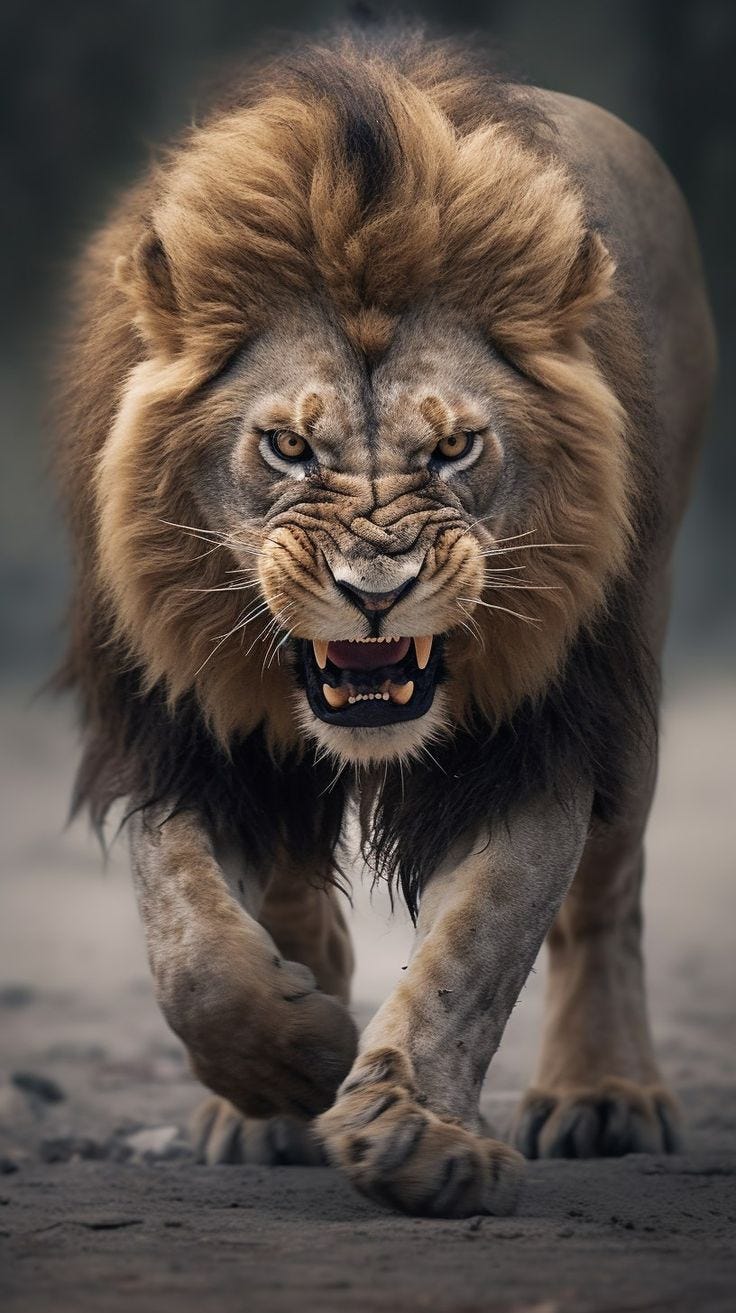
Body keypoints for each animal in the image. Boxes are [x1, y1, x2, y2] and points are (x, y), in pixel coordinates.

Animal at [56, 27, 715, 1217]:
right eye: (287, 446)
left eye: (454, 448)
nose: (375, 586)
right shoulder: (175, 724)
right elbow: (189, 943)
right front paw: (295, 1055)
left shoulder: (536, 735)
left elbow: (477, 950)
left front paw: (413, 1132)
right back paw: (267, 1090)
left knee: (610, 894)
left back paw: (603, 1095)